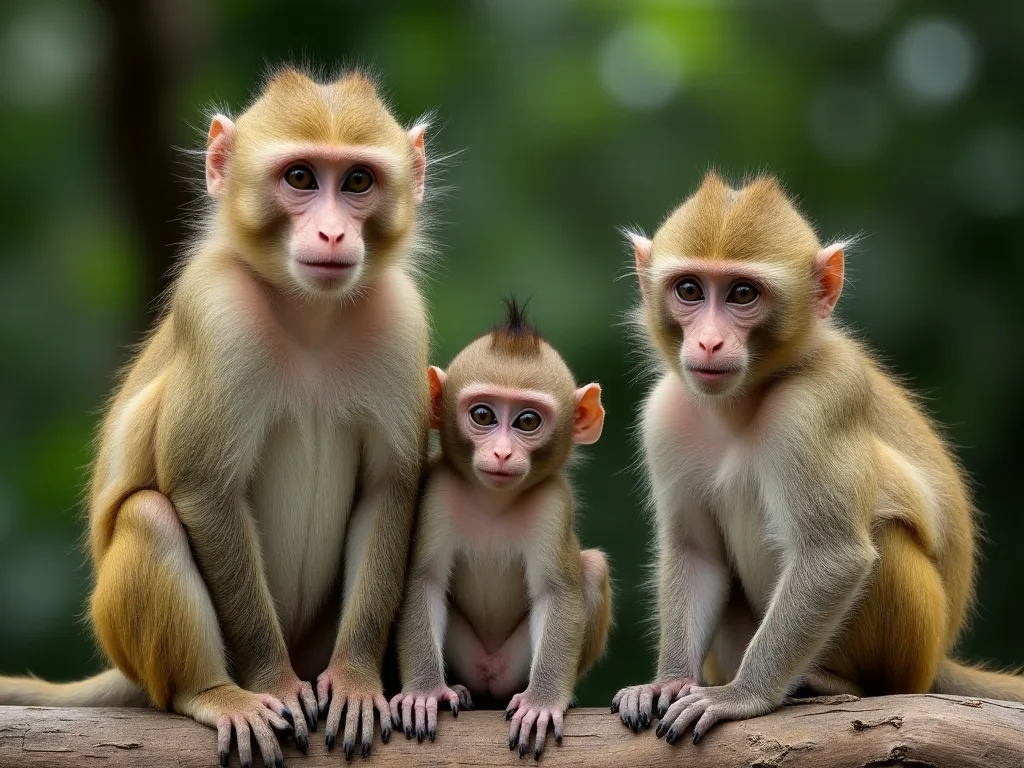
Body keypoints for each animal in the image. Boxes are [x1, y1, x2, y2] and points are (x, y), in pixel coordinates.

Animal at [0, 67, 433, 767]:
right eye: (301, 177)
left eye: (357, 182)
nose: (333, 234)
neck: (313, 319)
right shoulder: (215, 311)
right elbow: (204, 490)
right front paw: (273, 684)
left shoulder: (400, 320)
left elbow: (388, 489)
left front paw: (358, 681)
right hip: (128, 637)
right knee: (149, 518)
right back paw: (212, 692)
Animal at [387, 300, 613, 761]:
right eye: (483, 415)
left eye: (527, 421)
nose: (502, 453)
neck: (493, 501)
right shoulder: (437, 492)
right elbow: (422, 579)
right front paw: (424, 693)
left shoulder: (552, 504)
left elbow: (557, 591)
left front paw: (542, 703)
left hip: (511, 666)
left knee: (593, 568)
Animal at [611, 171, 1024, 746]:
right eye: (689, 290)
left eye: (743, 293)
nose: (709, 342)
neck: (740, 403)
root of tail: (938, 659)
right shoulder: (666, 414)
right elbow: (697, 551)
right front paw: (665, 682)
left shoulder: (820, 400)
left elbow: (833, 556)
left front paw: (739, 697)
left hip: (913, 654)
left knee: (885, 536)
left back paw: (834, 682)